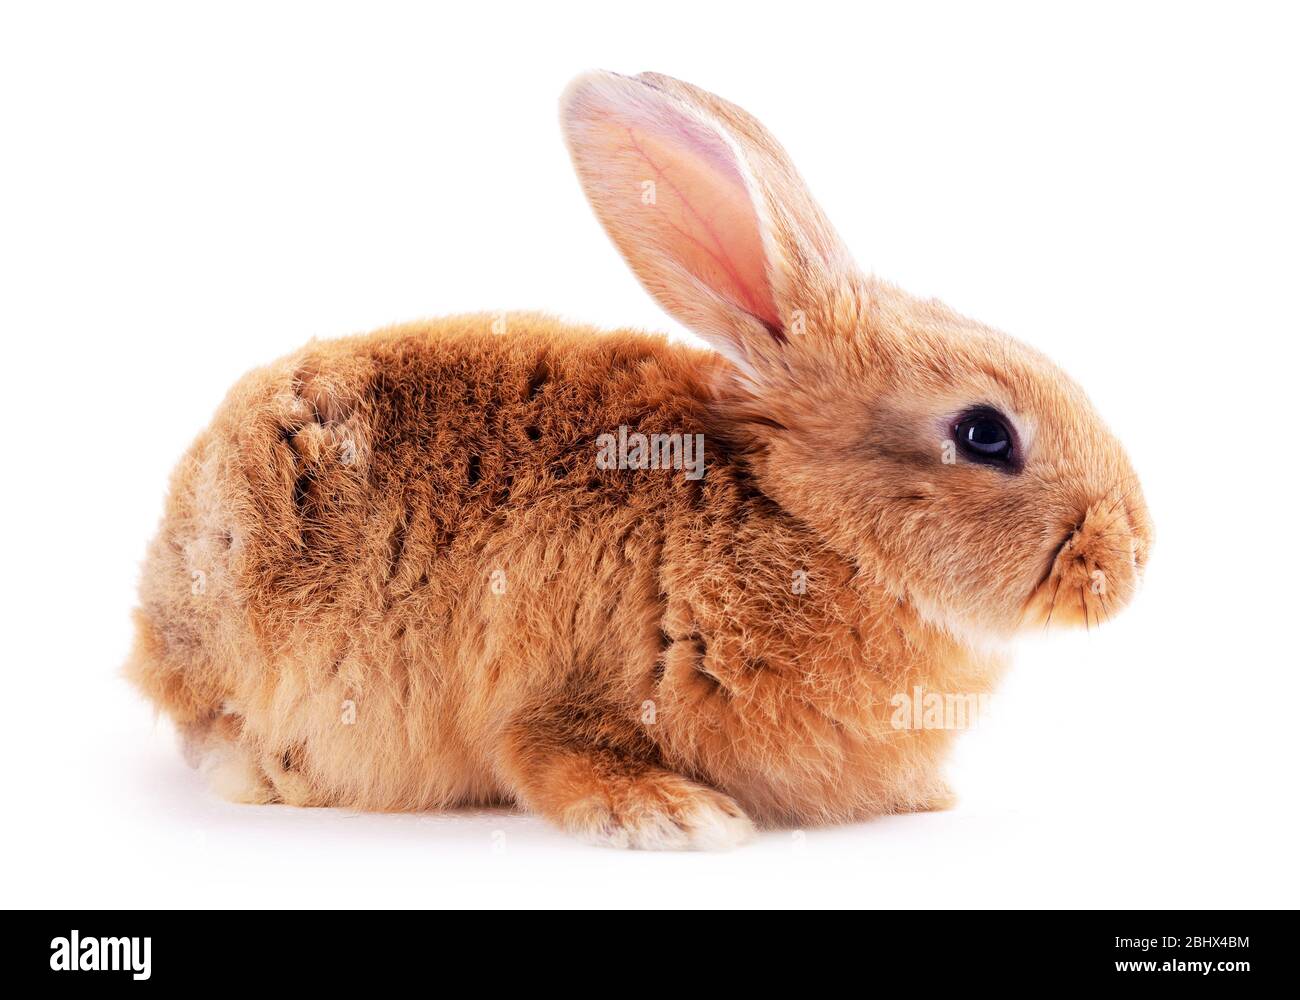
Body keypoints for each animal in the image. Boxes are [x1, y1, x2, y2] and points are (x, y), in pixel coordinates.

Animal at [125, 70, 1152, 849]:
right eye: (985, 434)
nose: (1131, 556)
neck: (800, 524)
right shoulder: (563, 690)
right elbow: (554, 753)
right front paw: (680, 820)